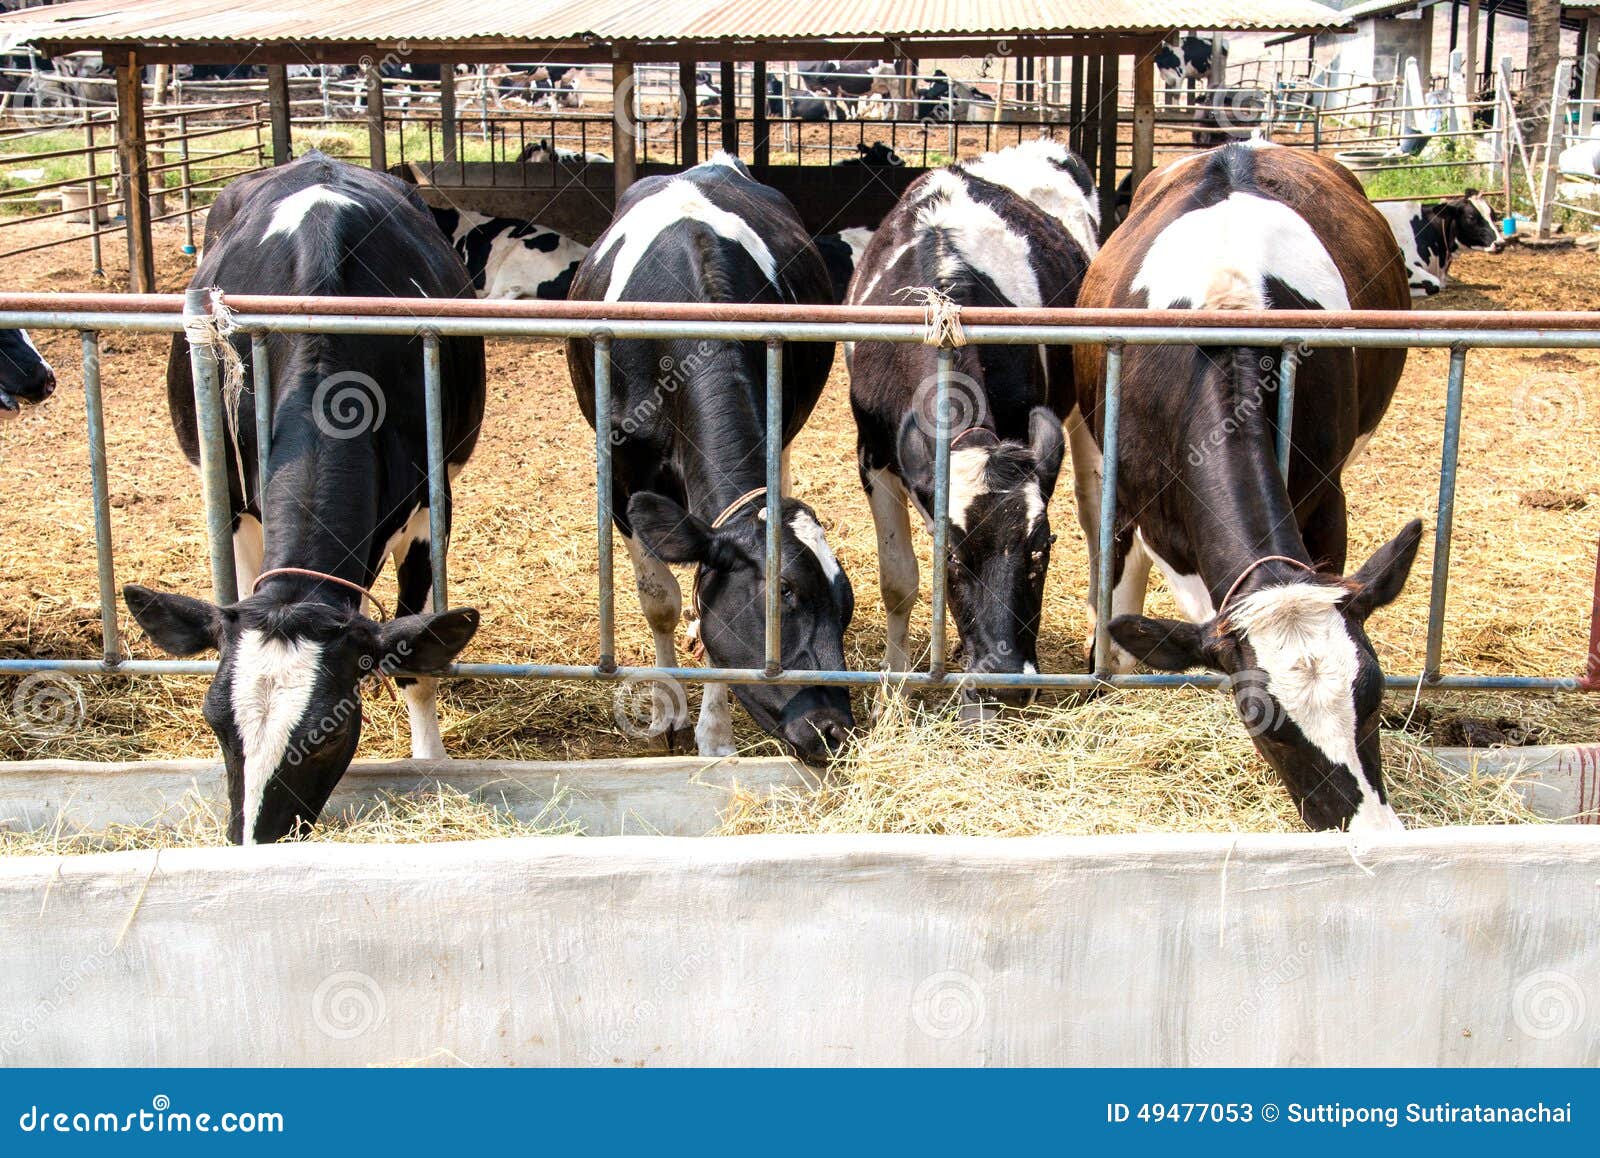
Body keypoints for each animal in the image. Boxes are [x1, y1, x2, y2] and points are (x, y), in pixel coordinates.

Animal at [122, 153, 486, 844]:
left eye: (328, 736)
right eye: (215, 721)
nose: (252, 842)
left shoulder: (433, 507)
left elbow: (414, 660)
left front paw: (430, 763)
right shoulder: (238, 504)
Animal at [565, 154, 854, 764]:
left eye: (847, 605)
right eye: (785, 593)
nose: (835, 731)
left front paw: (715, 737)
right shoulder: (624, 478)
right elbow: (662, 601)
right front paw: (668, 709)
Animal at [845, 141, 1097, 716]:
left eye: (1040, 550)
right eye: (954, 557)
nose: (1005, 681)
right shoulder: (873, 454)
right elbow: (898, 579)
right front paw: (896, 685)